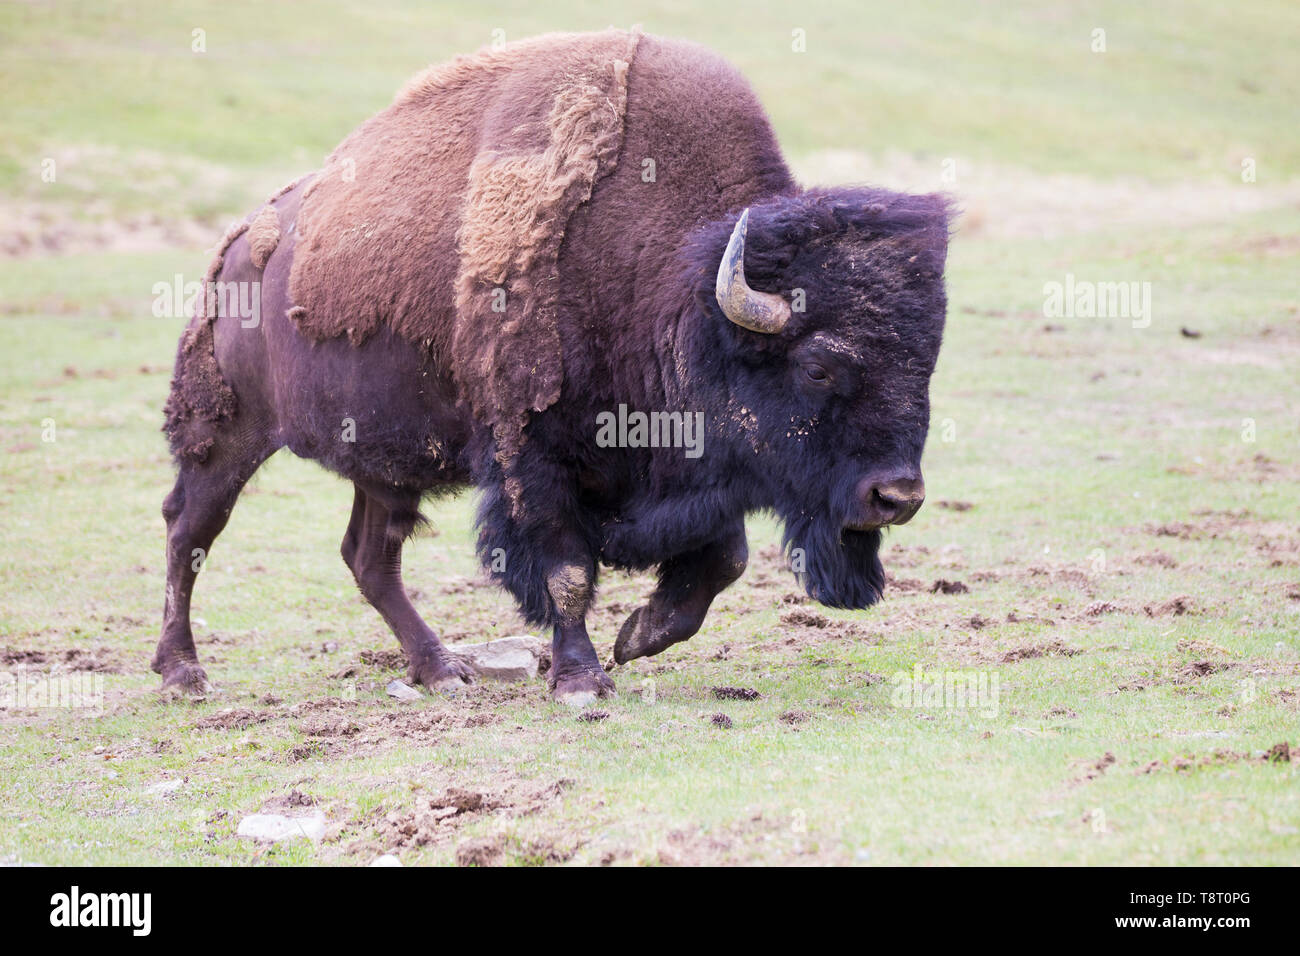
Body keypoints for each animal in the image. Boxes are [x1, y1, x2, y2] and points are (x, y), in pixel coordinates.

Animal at [156, 29, 952, 705]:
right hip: (226, 434)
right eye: (818, 366)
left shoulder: (694, 472)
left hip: (385, 466)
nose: (898, 497)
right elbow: (567, 572)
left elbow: (723, 559)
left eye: (927, 361)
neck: (679, 291)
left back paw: (443, 670)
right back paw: (184, 673)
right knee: (189, 530)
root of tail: (238, 247)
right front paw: (582, 681)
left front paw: (638, 638)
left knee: (369, 557)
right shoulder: (531, 456)